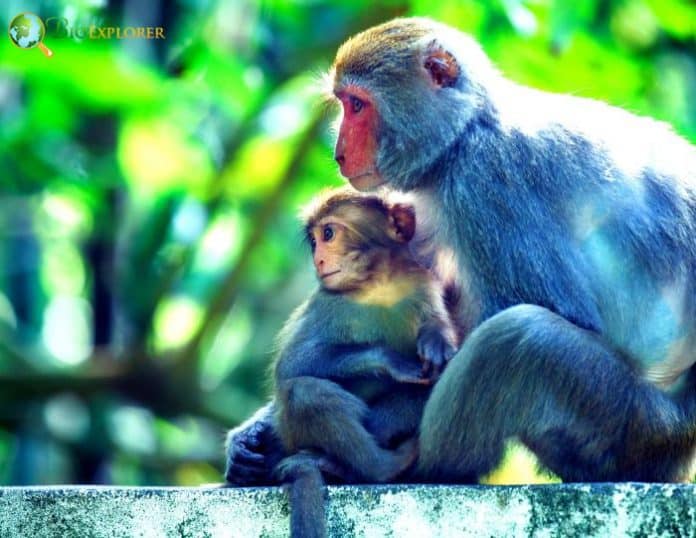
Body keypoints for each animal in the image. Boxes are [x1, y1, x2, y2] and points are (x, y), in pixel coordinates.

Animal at [227, 17, 696, 485]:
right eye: (344, 103)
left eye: (357, 106)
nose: (338, 152)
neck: (467, 132)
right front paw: (256, 431)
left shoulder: (485, 184)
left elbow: (548, 313)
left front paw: (292, 435)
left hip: (630, 428)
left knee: (519, 338)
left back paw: (385, 467)